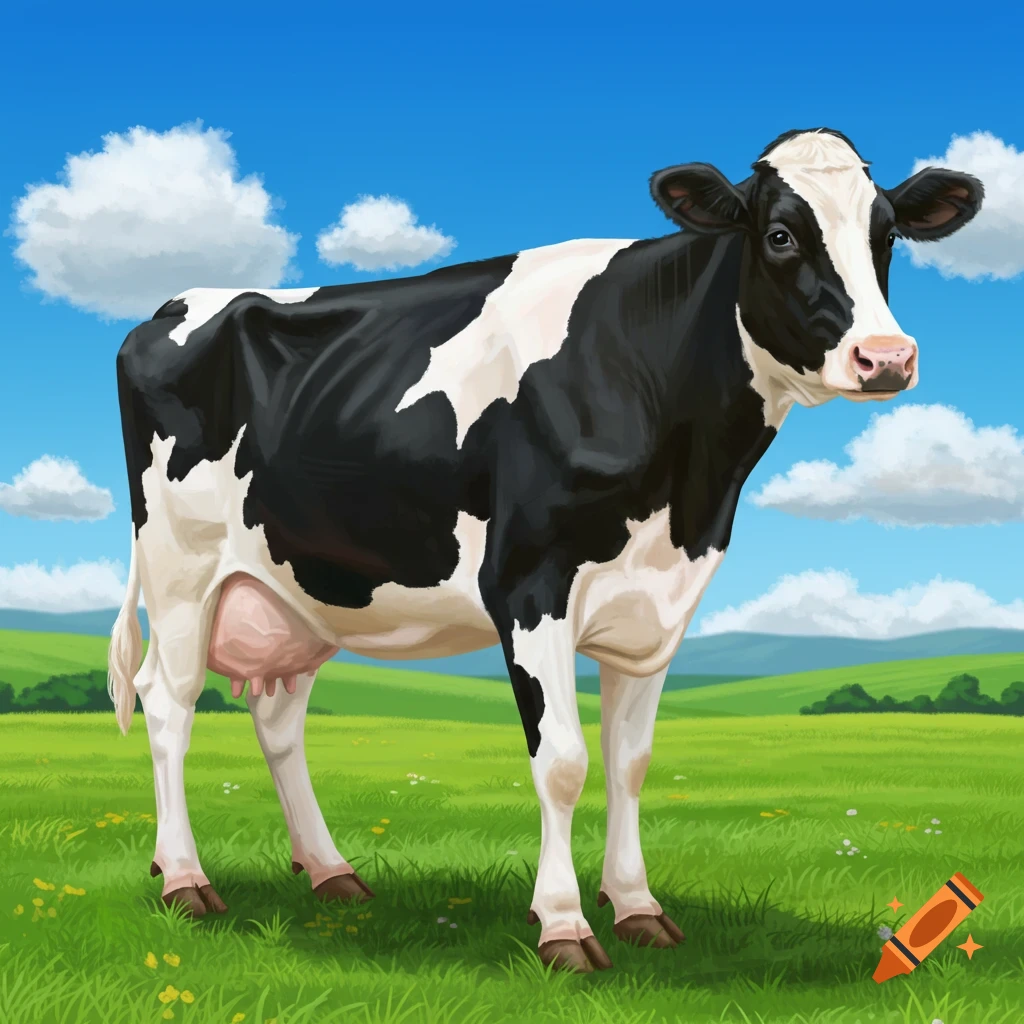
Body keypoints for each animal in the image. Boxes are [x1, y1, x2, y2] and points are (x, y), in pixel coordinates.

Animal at [108, 128, 982, 973]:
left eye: (887, 235)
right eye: (778, 235)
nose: (887, 357)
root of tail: (177, 304)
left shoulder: (657, 603)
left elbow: (630, 762)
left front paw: (637, 908)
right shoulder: (530, 587)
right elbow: (563, 761)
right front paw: (562, 926)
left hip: (302, 590)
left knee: (278, 717)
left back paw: (330, 871)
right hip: (183, 569)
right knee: (168, 702)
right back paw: (185, 881)